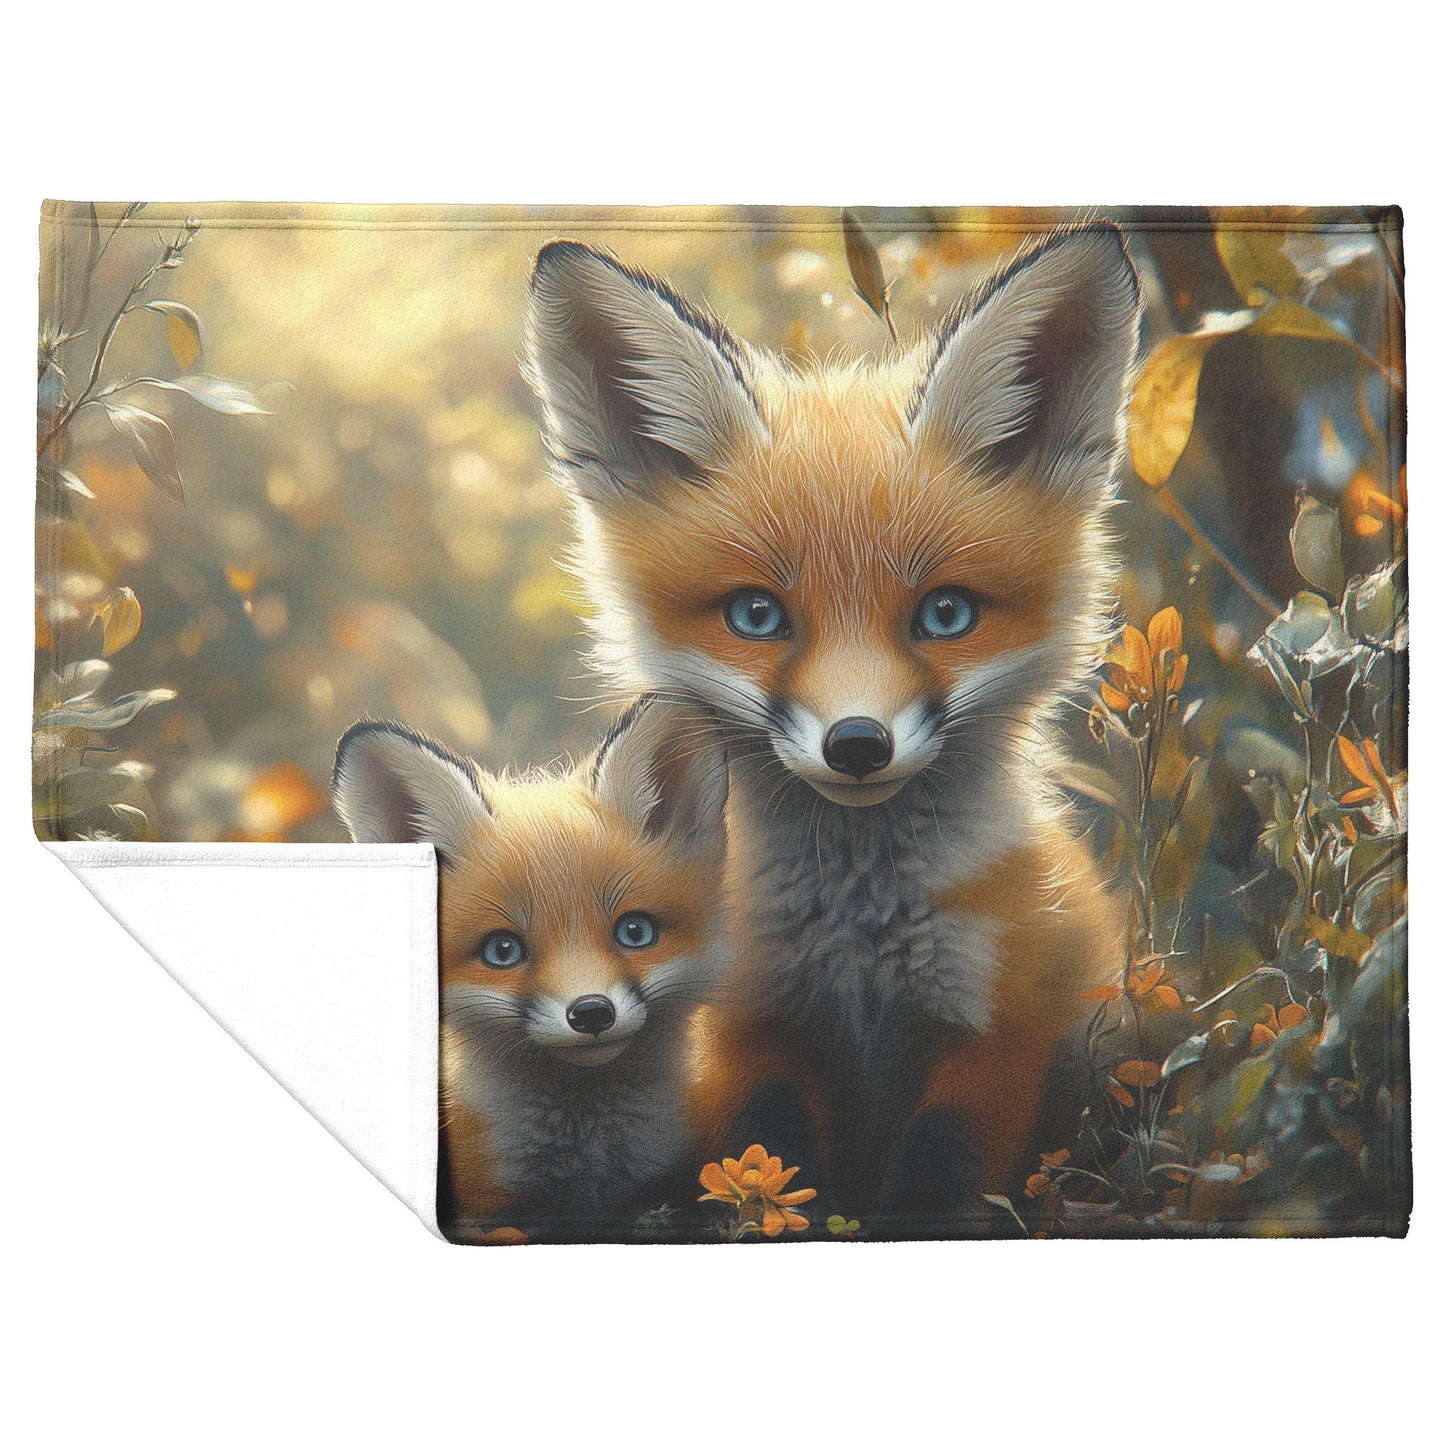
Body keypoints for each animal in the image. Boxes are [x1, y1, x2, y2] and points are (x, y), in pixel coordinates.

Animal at [522, 223, 1140, 1226]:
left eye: (944, 614)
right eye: (757, 616)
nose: (856, 744)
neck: (860, 953)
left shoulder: (997, 1031)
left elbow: (936, 1182)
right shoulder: (747, 1031)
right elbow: (765, 1168)